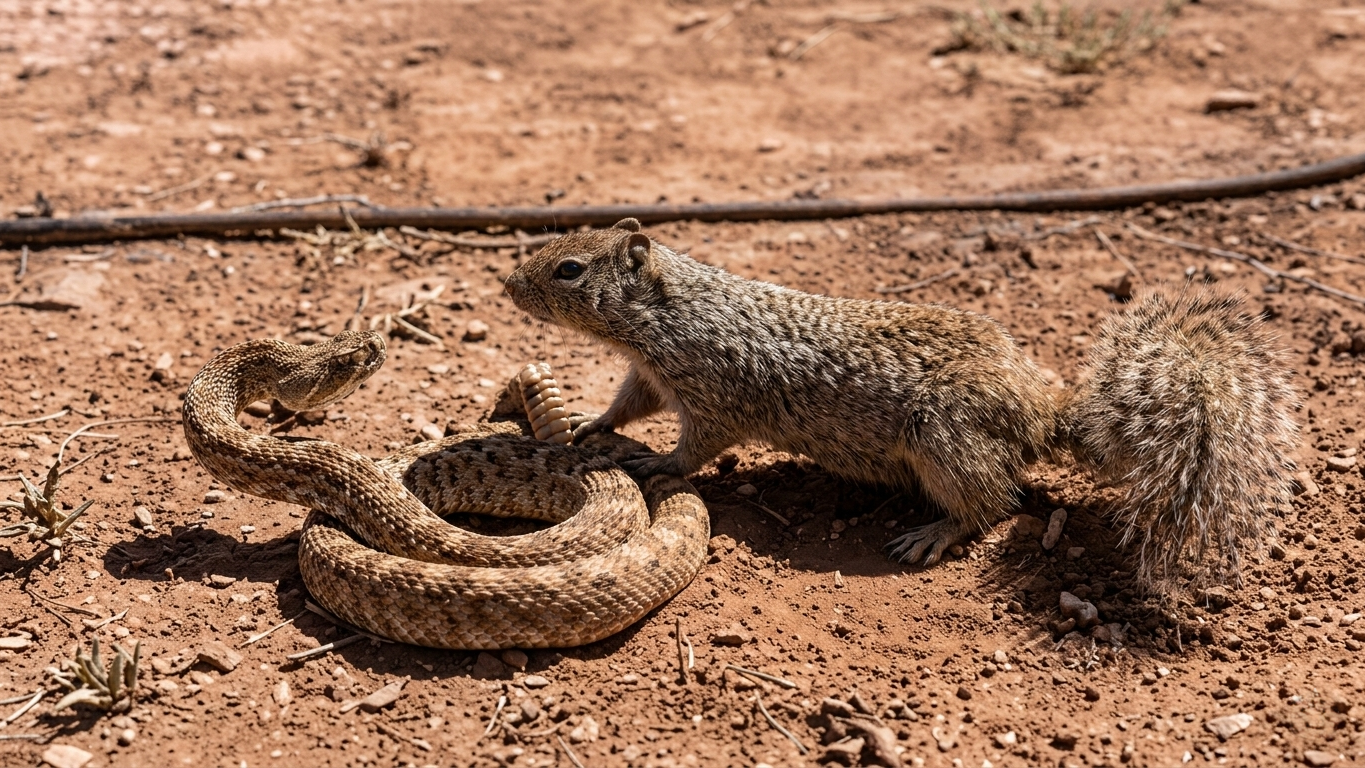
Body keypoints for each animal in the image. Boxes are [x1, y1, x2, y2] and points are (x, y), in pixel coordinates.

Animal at [503, 218, 1300, 593]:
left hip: (943, 439)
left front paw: (660, 467)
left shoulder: (711, 396)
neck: (671, 312)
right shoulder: (649, 377)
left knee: (994, 503)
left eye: (568, 269)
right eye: (558, 242)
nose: (507, 285)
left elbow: (695, 448)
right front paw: (590, 424)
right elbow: (627, 405)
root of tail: (1043, 409)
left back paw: (932, 534)